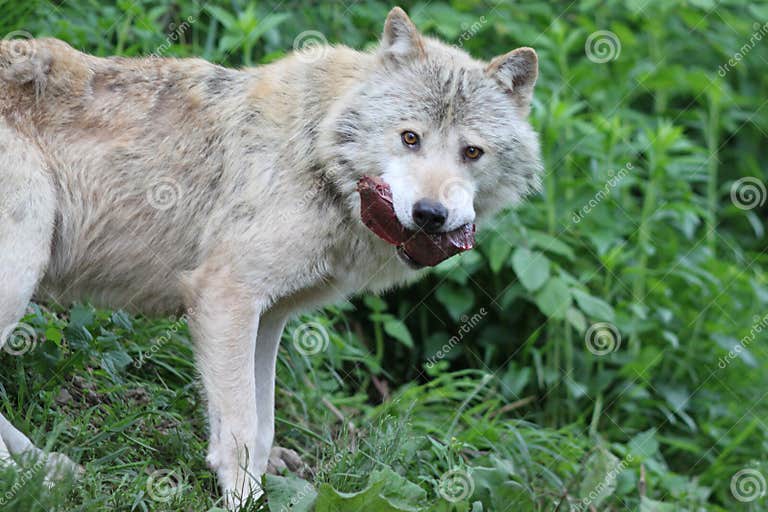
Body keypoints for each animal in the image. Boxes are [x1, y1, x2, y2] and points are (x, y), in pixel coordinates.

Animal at [0, 6, 541, 507]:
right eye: (410, 138)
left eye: (472, 152)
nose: (430, 214)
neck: (318, 151)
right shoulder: (225, 296)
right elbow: (240, 429)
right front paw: (243, 499)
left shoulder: (270, 315)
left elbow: (262, 429)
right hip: (21, 273)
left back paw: (46, 467)